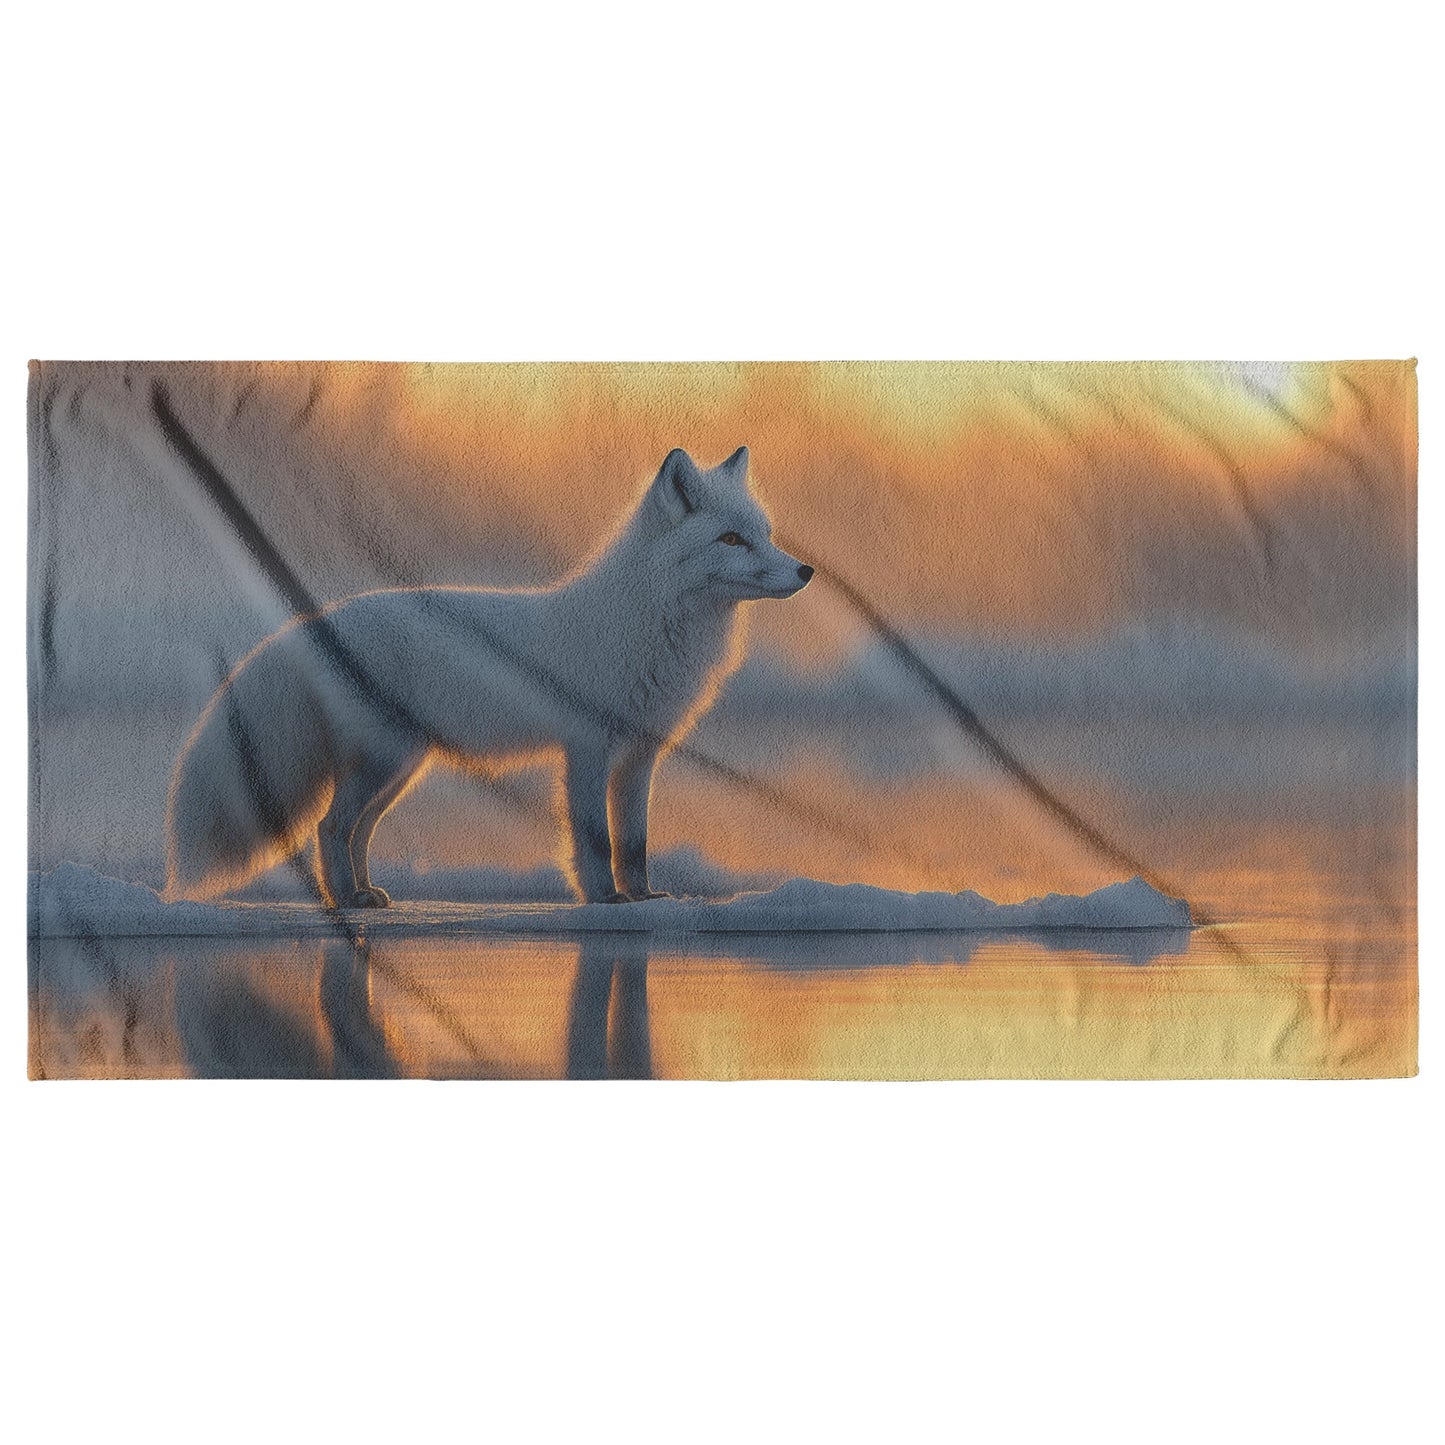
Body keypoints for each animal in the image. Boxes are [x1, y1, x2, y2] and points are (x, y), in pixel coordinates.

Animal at [165, 446, 812, 908]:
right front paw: (604, 900)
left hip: (401, 768)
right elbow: (594, 841)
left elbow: (634, 843)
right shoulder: (586, 747)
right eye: (731, 538)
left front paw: (644, 897)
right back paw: (346, 900)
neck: (647, 626)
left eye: (765, 533)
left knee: (354, 832)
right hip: (384, 760)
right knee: (330, 827)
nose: (805, 570)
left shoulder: (638, 756)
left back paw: (366, 894)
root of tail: (313, 621)